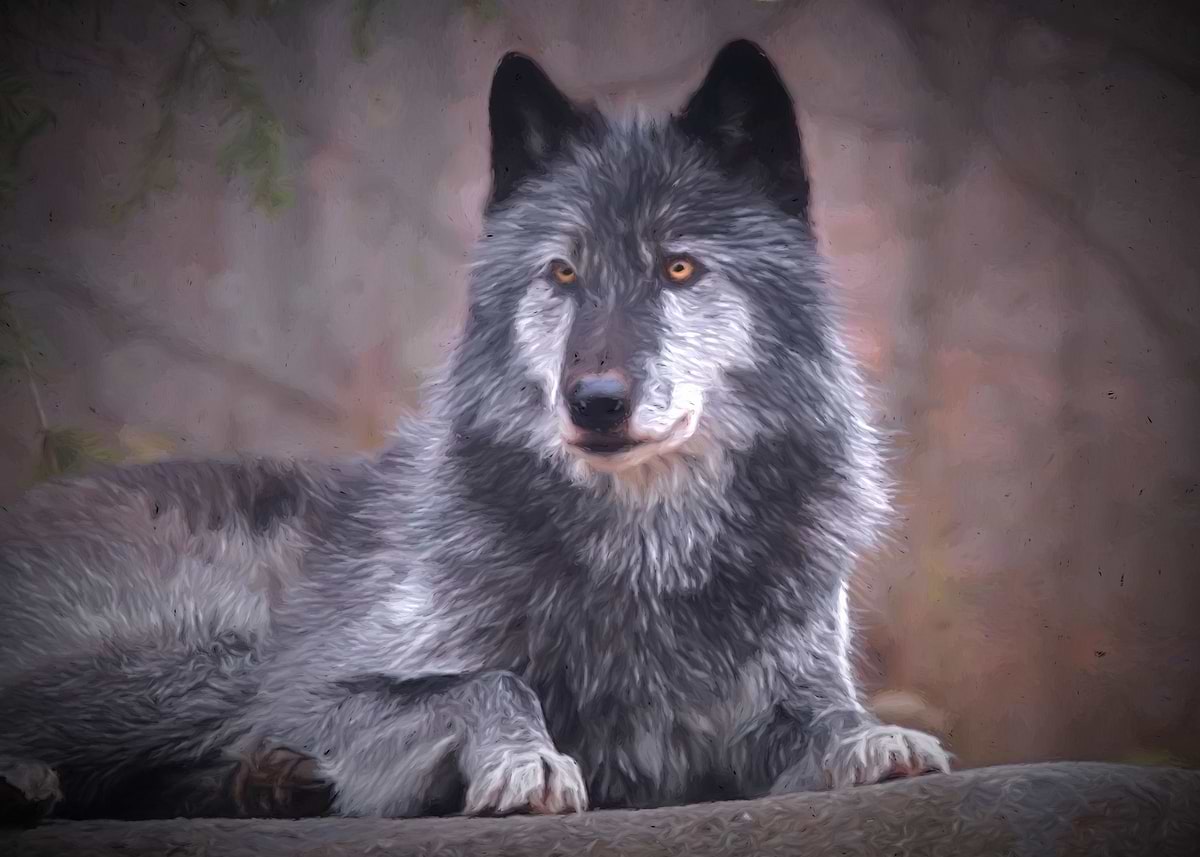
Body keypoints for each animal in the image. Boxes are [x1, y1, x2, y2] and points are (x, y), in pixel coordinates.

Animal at [0, 40, 950, 823]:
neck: (645, 554)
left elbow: (827, 713)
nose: (594, 399)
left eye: (679, 267)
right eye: (561, 273)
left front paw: (870, 738)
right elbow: (482, 680)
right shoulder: (300, 689)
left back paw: (270, 784)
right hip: (210, 655)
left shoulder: (773, 703)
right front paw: (528, 760)